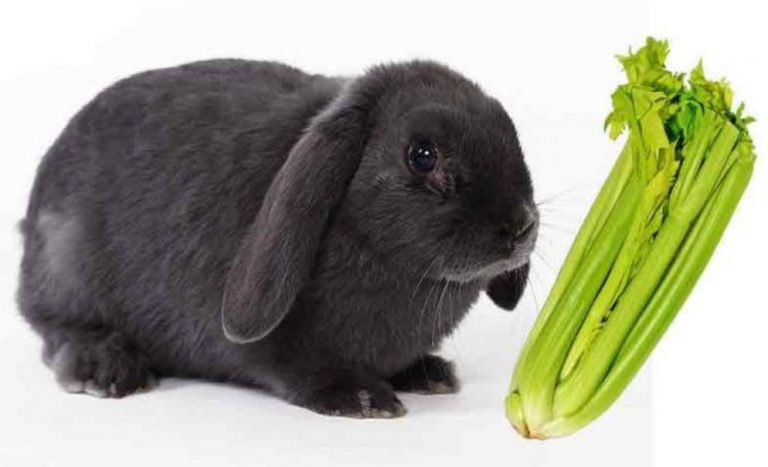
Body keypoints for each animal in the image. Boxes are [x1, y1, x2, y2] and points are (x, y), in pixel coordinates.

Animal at [17, 59, 538, 418]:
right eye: (423, 155)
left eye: (512, 135)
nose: (520, 225)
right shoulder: (284, 347)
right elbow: (295, 366)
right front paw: (362, 398)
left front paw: (427, 373)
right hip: (67, 273)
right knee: (56, 329)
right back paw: (107, 370)